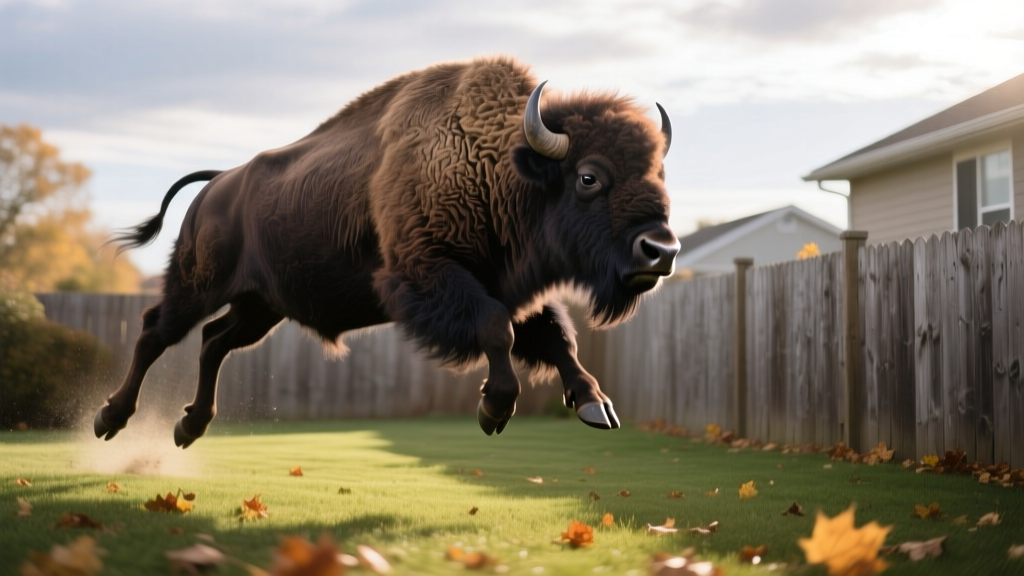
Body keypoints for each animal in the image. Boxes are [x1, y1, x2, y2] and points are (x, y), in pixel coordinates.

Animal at [93, 56, 680, 448]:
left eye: (658, 171)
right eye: (589, 177)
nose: (661, 249)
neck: (501, 169)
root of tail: (218, 185)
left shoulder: (512, 289)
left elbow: (555, 337)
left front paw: (596, 404)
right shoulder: (429, 274)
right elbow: (498, 330)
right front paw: (494, 409)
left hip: (261, 306)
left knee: (214, 342)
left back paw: (188, 426)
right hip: (197, 285)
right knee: (155, 332)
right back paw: (110, 420)